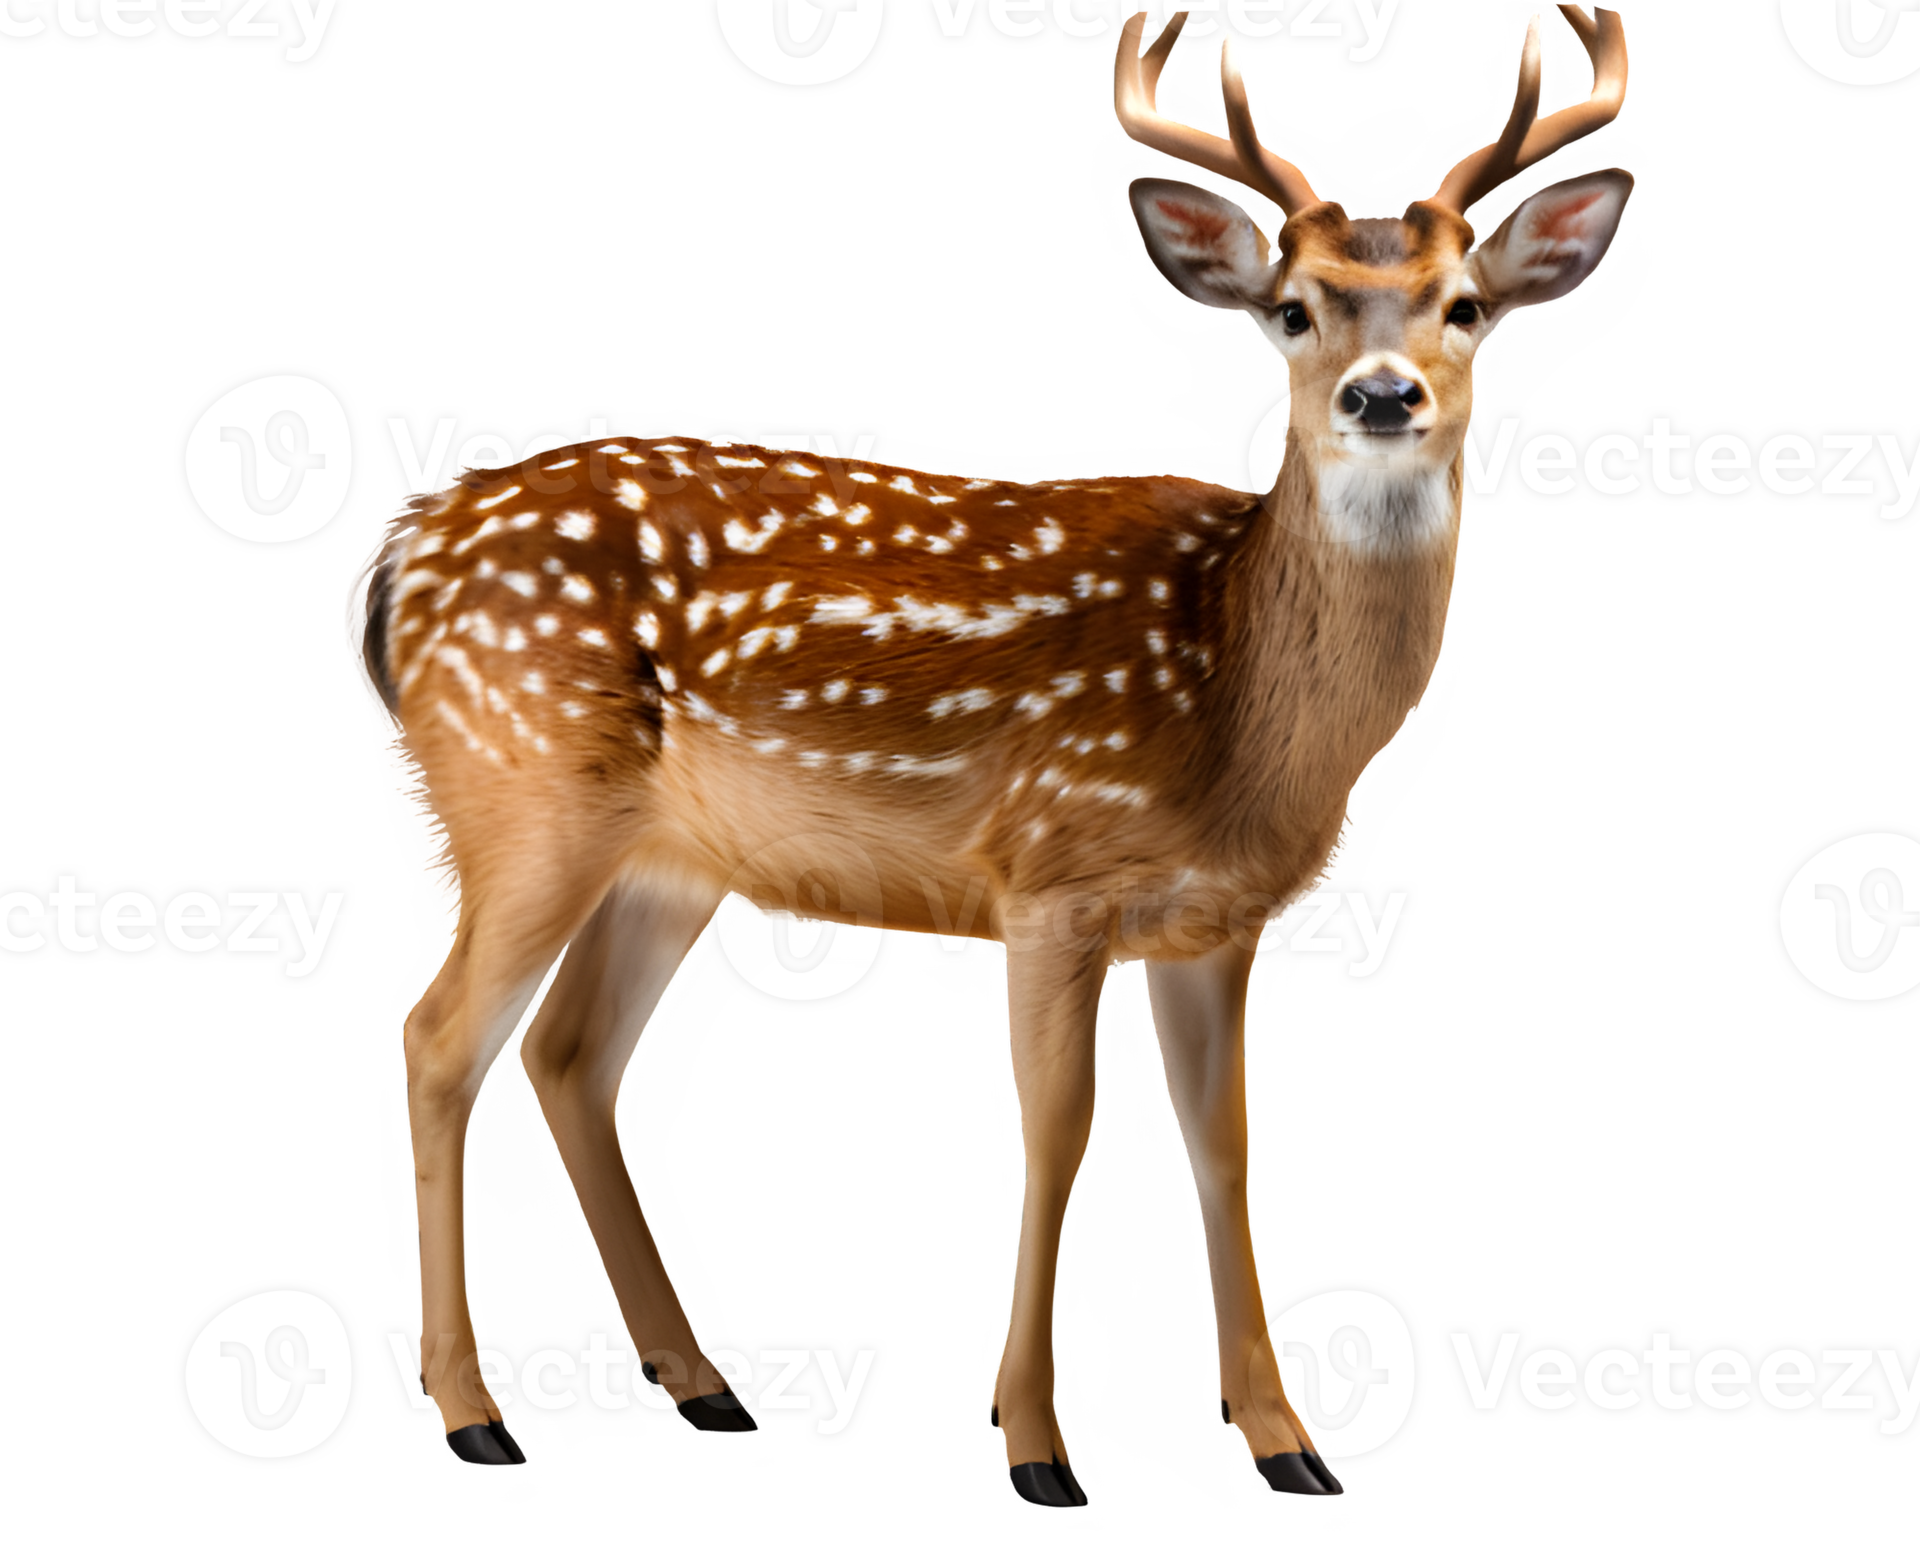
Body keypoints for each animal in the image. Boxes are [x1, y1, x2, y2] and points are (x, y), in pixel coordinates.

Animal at [344, 6, 1632, 1502]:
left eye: (1466, 308)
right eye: (1292, 310)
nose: (1381, 396)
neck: (1239, 700)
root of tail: (394, 552)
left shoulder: (1216, 918)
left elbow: (1223, 1140)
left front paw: (1287, 1446)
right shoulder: (1050, 874)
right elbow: (1062, 1128)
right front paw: (1034, 1446)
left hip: (664, 860)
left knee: (569, 1055)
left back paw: (705, 1389)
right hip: (514, 801)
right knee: (440, 1039)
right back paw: (474, 1413)